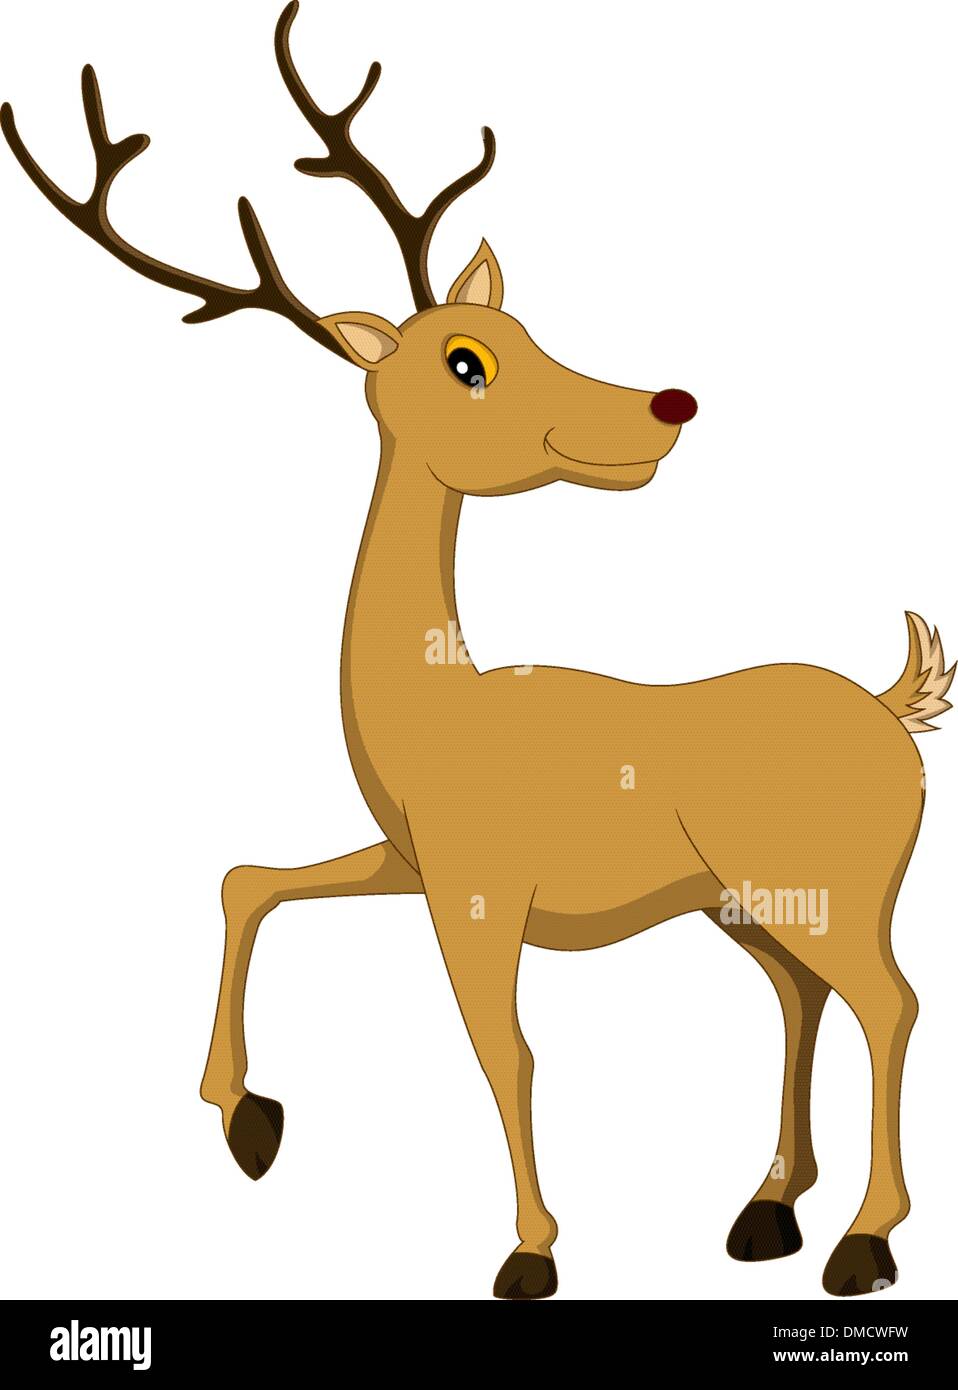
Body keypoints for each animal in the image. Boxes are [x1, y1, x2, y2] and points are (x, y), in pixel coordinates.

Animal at [3, 1, 952, 1302]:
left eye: (514, 328)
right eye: (467, 360)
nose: (667, 402)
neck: (433, 715)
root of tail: (894, 704)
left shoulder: (478, 894)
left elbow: (505, 1050)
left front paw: (528, 1254)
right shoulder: (420, 864)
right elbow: (250, 878)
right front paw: (249, 1122)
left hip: (827, 890)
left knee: (890, 1002)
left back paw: (862, 1240)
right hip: (745, 904)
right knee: (804, 999)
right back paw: (764, 1211)